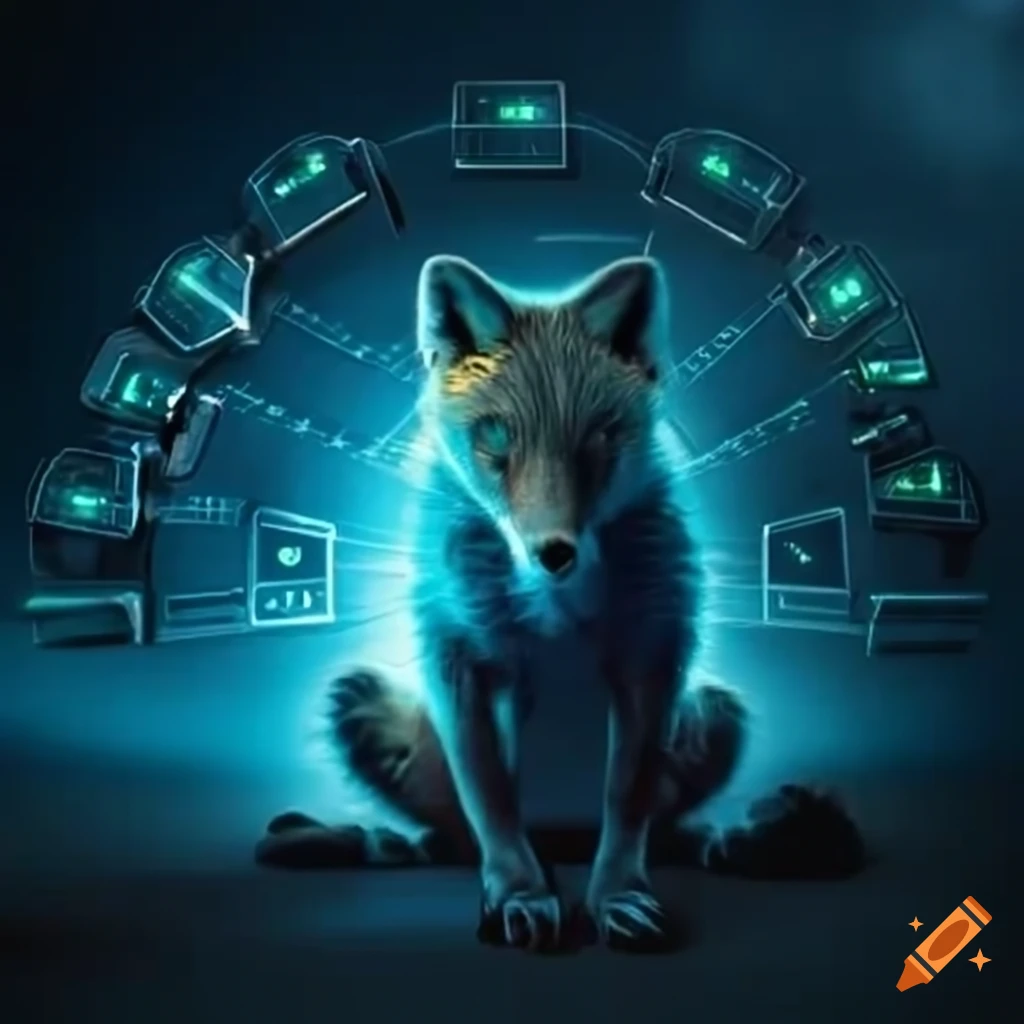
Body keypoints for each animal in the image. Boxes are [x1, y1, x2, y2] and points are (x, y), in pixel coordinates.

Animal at [259, 254, 864, 952]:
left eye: (600, 436)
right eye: (496, 435)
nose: (553, 554)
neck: (557, 614)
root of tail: (565, 838)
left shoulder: (651, 657)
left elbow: (626, 797)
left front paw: (620, 899)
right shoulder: (460, 663)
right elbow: (492, 796)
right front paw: (521, 898)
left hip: (718, 710)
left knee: (674, 830)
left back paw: (754, 839)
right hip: (358, 698)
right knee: (436, 840)